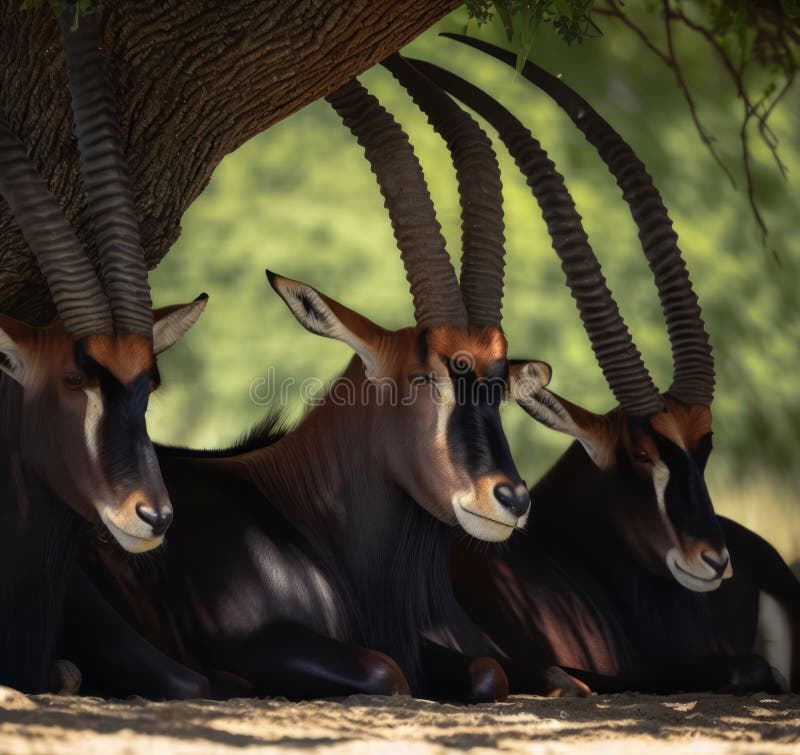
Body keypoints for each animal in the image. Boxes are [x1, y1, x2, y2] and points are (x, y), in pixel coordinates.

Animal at [68, 65, 583, 702]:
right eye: (423, 375)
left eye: (498, 387)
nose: (509, 499)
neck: (305, 519)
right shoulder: (267, 641)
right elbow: (387, 670)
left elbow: (498, 671)